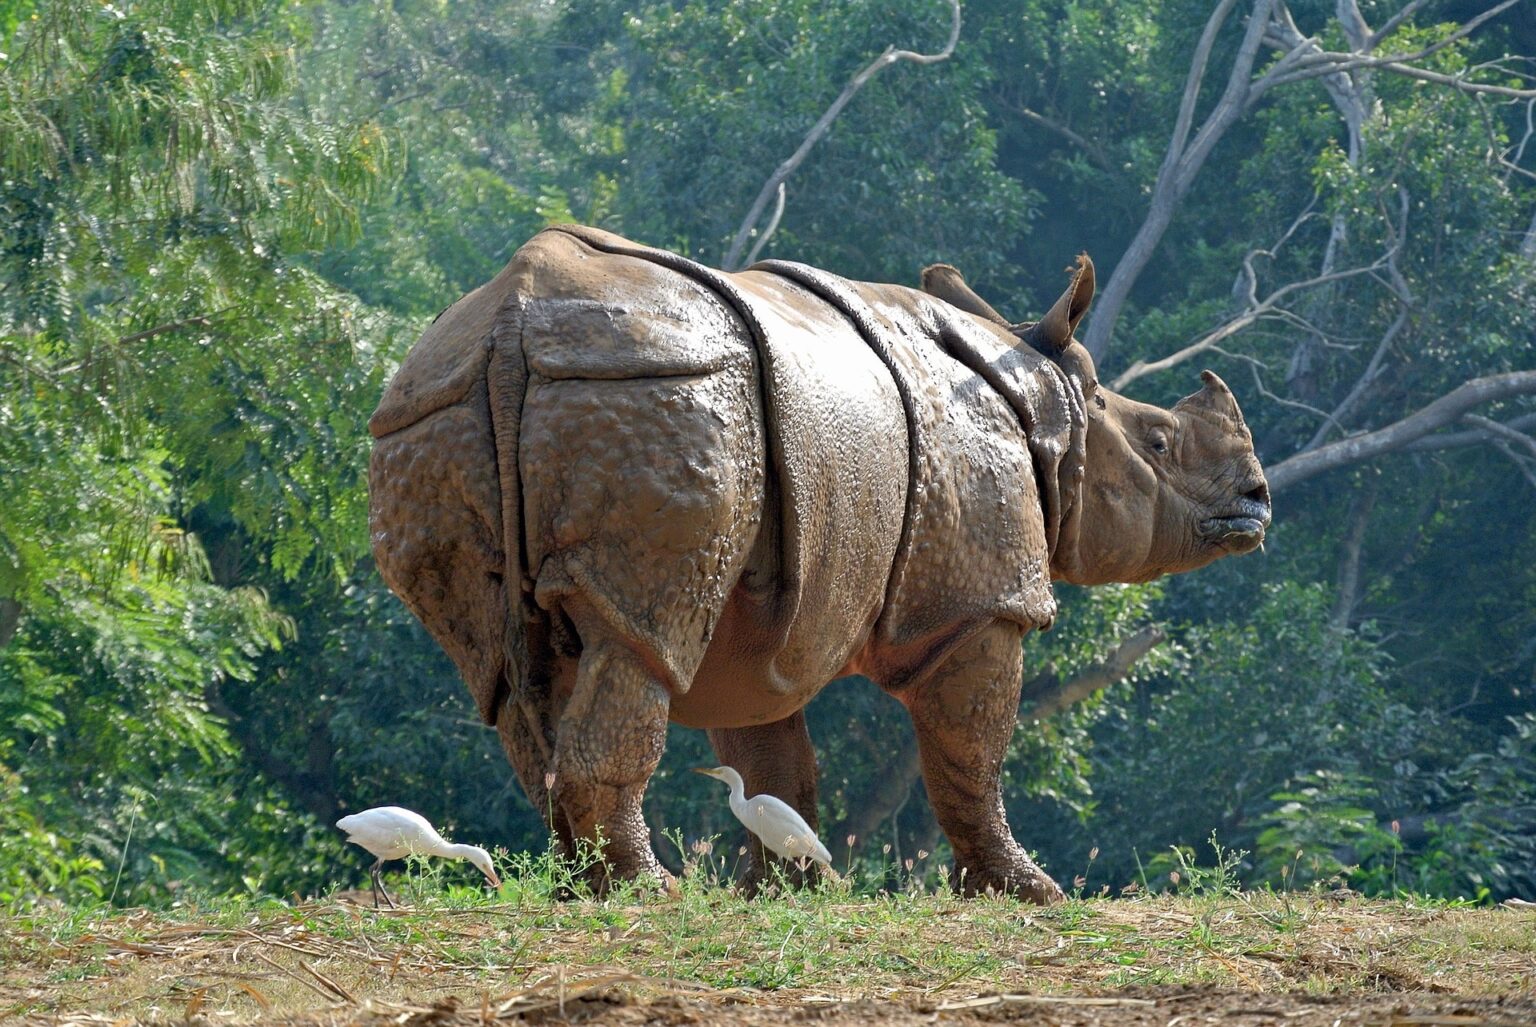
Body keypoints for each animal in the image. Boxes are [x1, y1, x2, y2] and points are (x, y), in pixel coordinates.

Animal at [367, 225, 1270, 903]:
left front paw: (783, 889)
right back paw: (649, 893)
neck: (1051, 406)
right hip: (656, 392)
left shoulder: (752, 619)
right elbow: (970, 754)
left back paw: (584, 888)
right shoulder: (978, 601)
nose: (1257, 500)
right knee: (640, 638)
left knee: (507, 667)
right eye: (1160, 442)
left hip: (434, 412)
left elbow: (770, 758)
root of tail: (511, 324)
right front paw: (1029, 892)